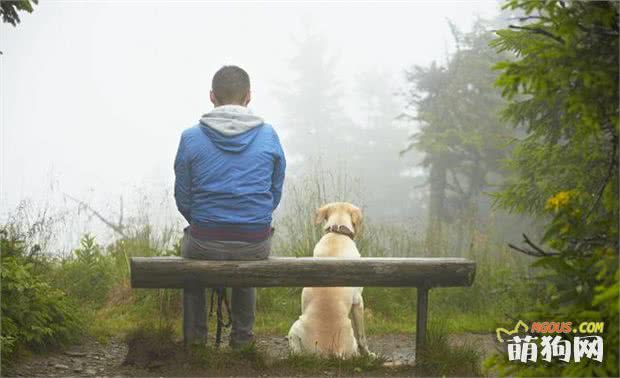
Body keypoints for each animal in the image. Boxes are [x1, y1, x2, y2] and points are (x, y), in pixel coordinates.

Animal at [286, 202, 372, 356]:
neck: (337, 234)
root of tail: (331, 351)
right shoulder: (358, 301)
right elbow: (362, 336)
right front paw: (369, 354)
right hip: (296, 326)